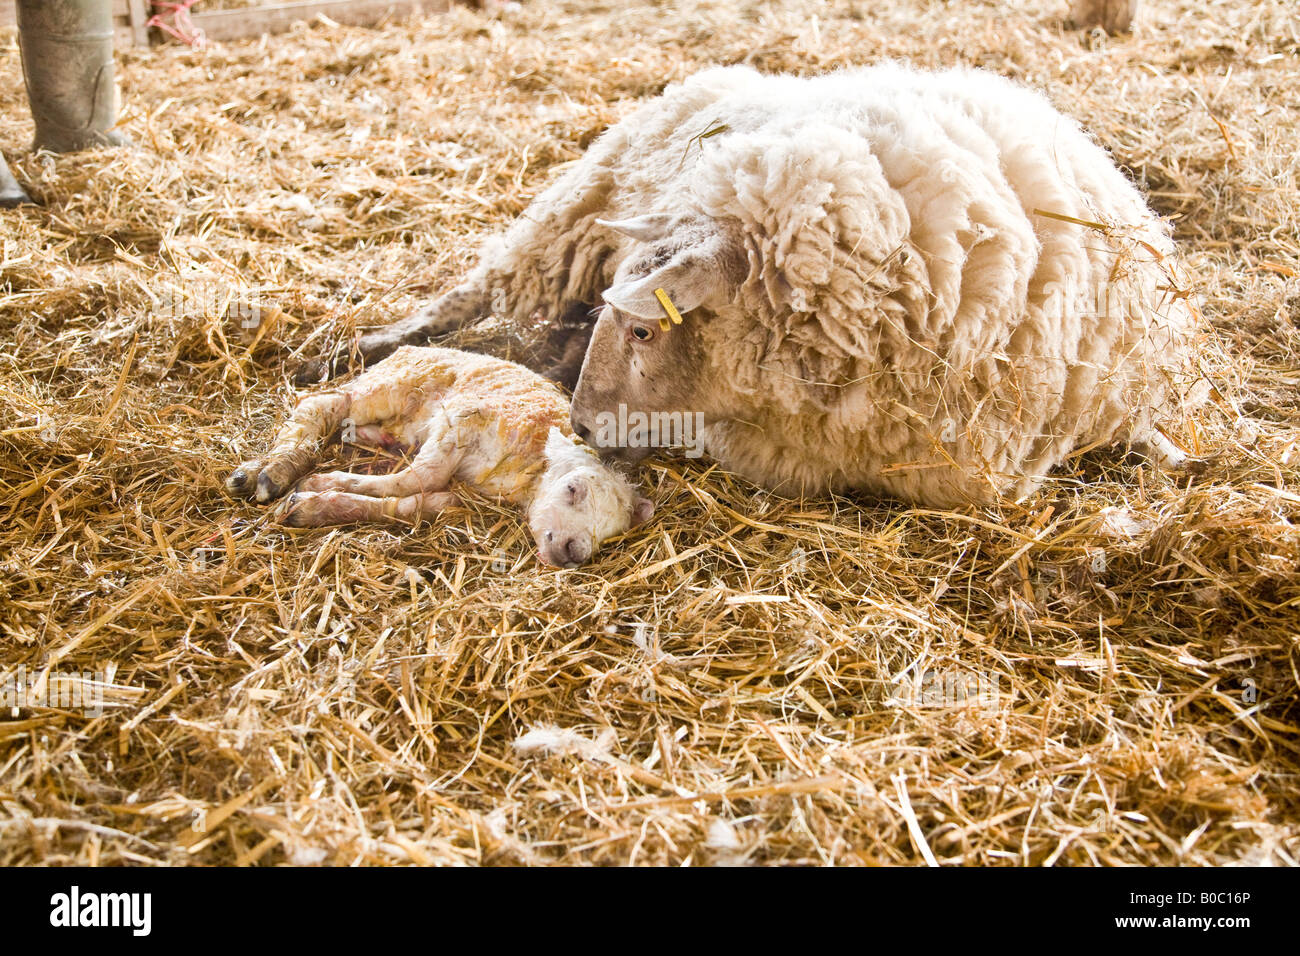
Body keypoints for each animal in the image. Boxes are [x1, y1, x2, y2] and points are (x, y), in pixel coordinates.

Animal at [228, 346, 654, 567]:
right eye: (572, 489)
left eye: (611, 532)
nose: (572, 552)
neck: (527, 475)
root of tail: (408, 348)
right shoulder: (463, 418)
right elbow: (419, 477)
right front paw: (322, 484)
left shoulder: (464, 489)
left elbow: (427, 501)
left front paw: (317, 503)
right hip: (393, 386)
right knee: (323, 403)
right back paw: (270, 472)